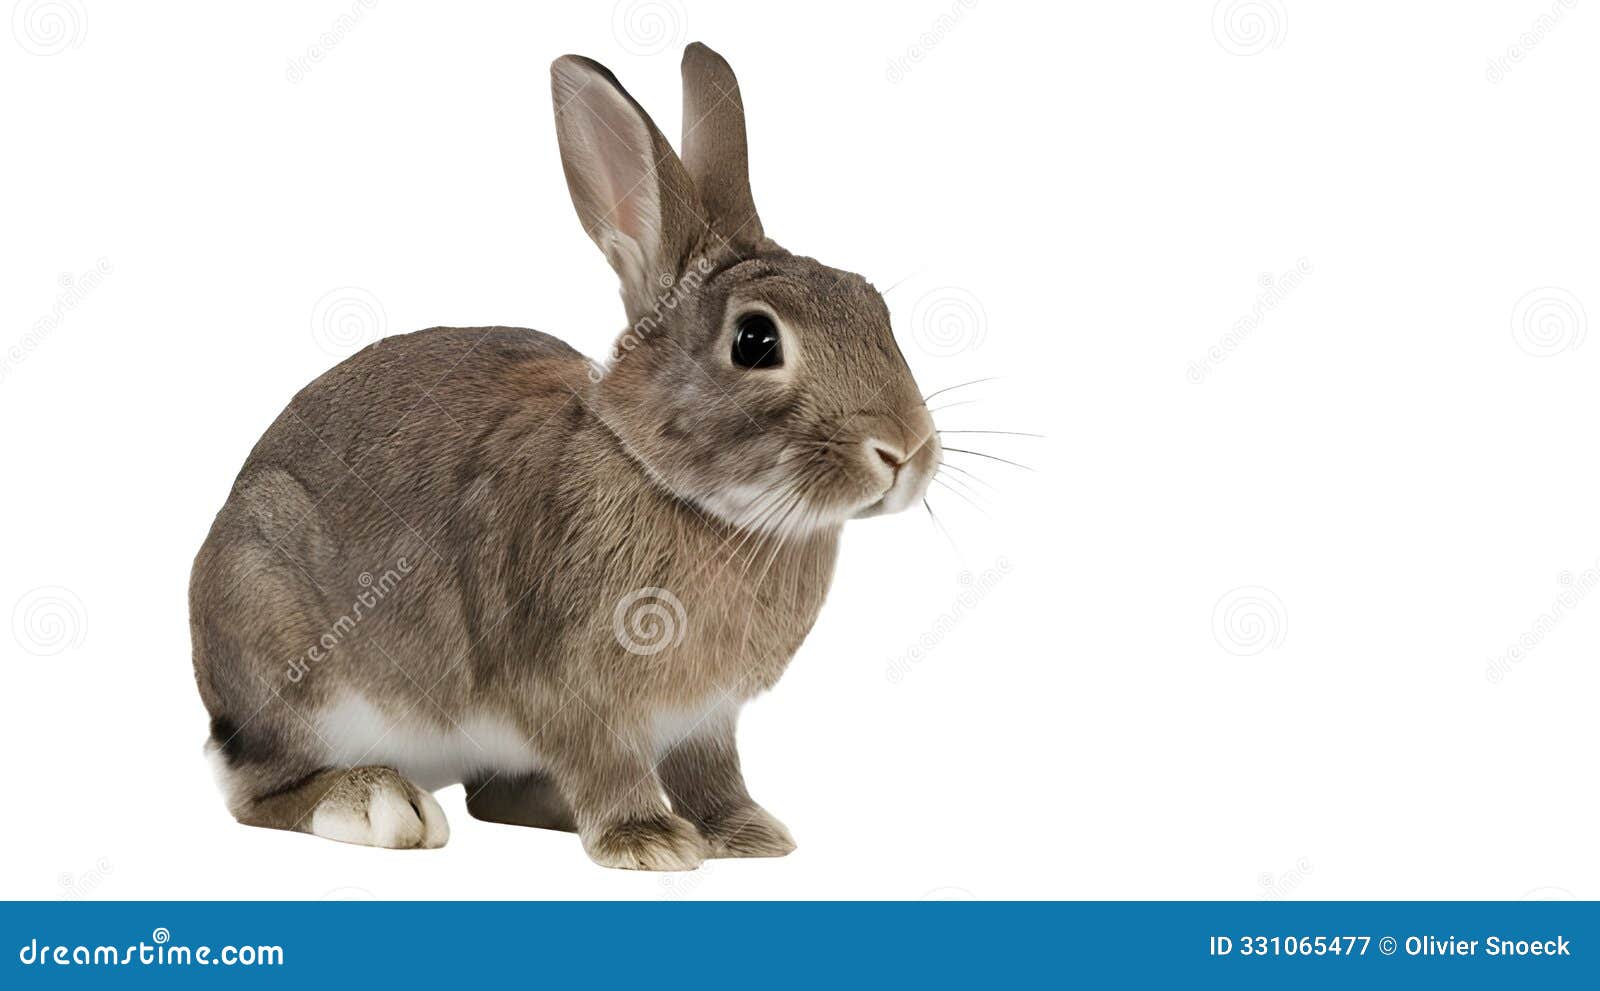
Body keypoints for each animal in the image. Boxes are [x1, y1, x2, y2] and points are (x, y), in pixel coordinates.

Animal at [189, 42, 940, 870]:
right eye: (755, 340)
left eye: (874, 306)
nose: (906, 449)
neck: (676, 489)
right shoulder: (569, 692)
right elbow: (607, 762)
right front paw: (649, 842)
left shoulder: (706, 718)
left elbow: (713, 772)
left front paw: (746, 833)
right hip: (287, 654)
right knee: (260, 791)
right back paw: (379, 804)